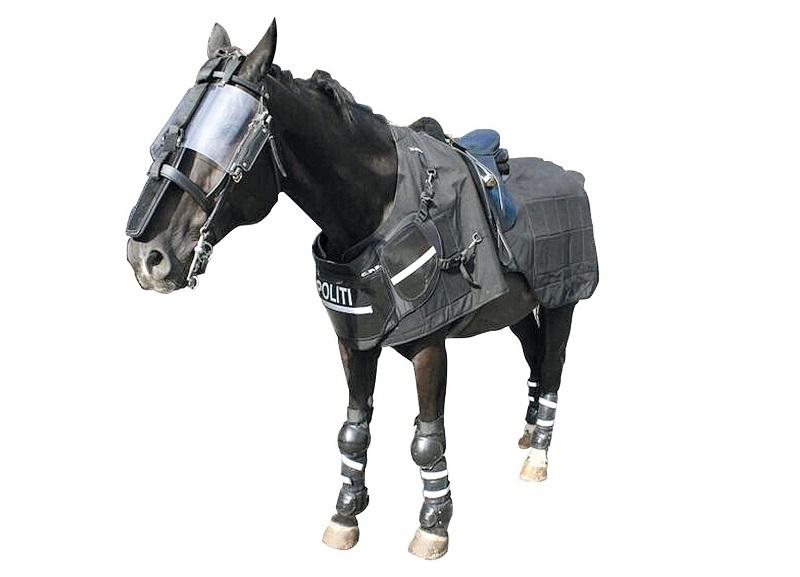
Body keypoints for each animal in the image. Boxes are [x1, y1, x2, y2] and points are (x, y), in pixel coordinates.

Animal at [125, 19, 597, 560]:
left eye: (227, 142)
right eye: (168, 134)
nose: (148, 256)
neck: (377, 206)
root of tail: (573, 175)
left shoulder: (430, 346)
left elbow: (427, 439)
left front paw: (433, 524)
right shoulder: (355, 338)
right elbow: (352, 432)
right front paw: (345, 513)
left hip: (563, 299)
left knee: (553, 365)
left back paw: (537, 455)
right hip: (518, 309)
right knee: (536, 359)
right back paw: (526, 433)